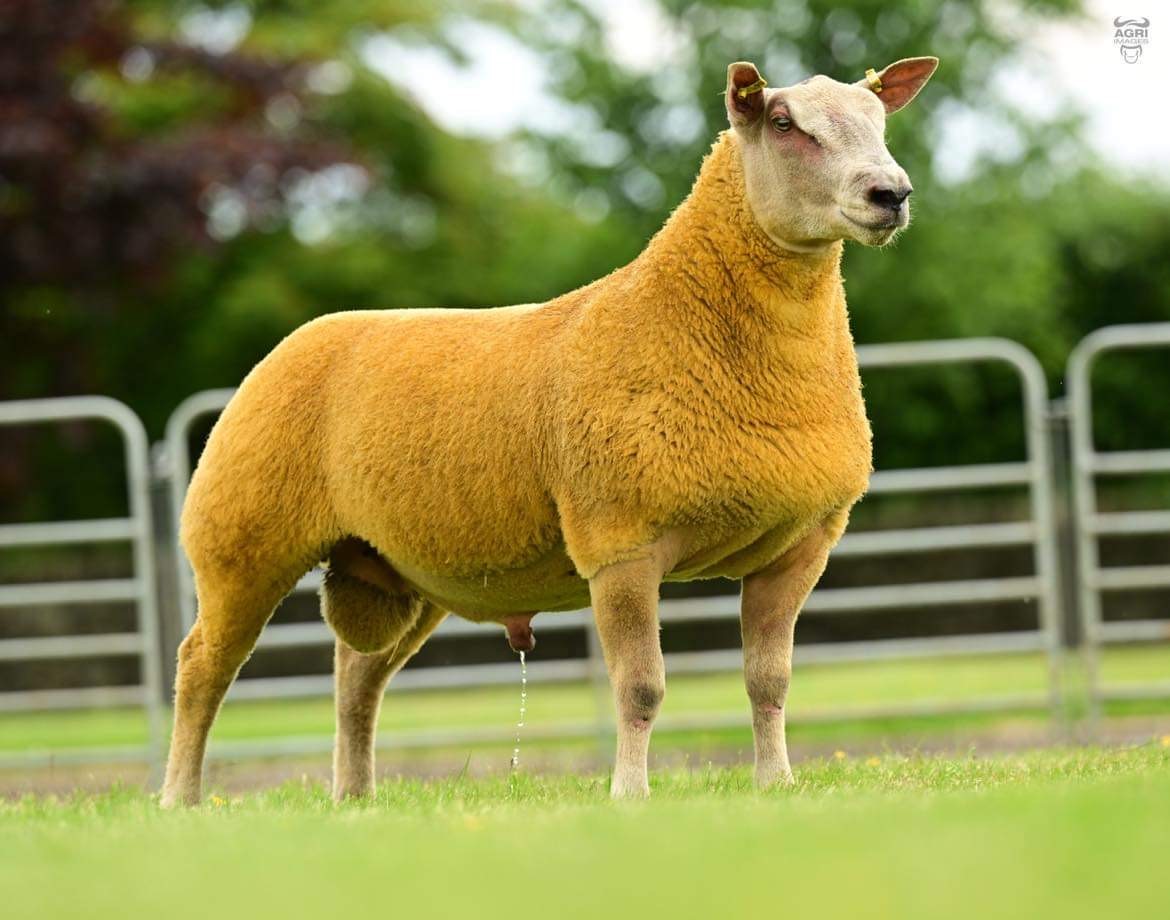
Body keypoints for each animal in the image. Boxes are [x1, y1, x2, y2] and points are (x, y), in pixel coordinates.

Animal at [160, 56, 938, 807]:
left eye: (878, 118)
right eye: (783, 122)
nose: (891, 194)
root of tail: (300, 340)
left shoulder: (799, 546)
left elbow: (768, 681)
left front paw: (777, 785)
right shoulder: (622, 544)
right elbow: (641, 687)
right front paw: (629, 793)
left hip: (396, 565)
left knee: (357, 674)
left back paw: (354, 795)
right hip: (241, 541)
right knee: (202, 667)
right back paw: (180, 799)